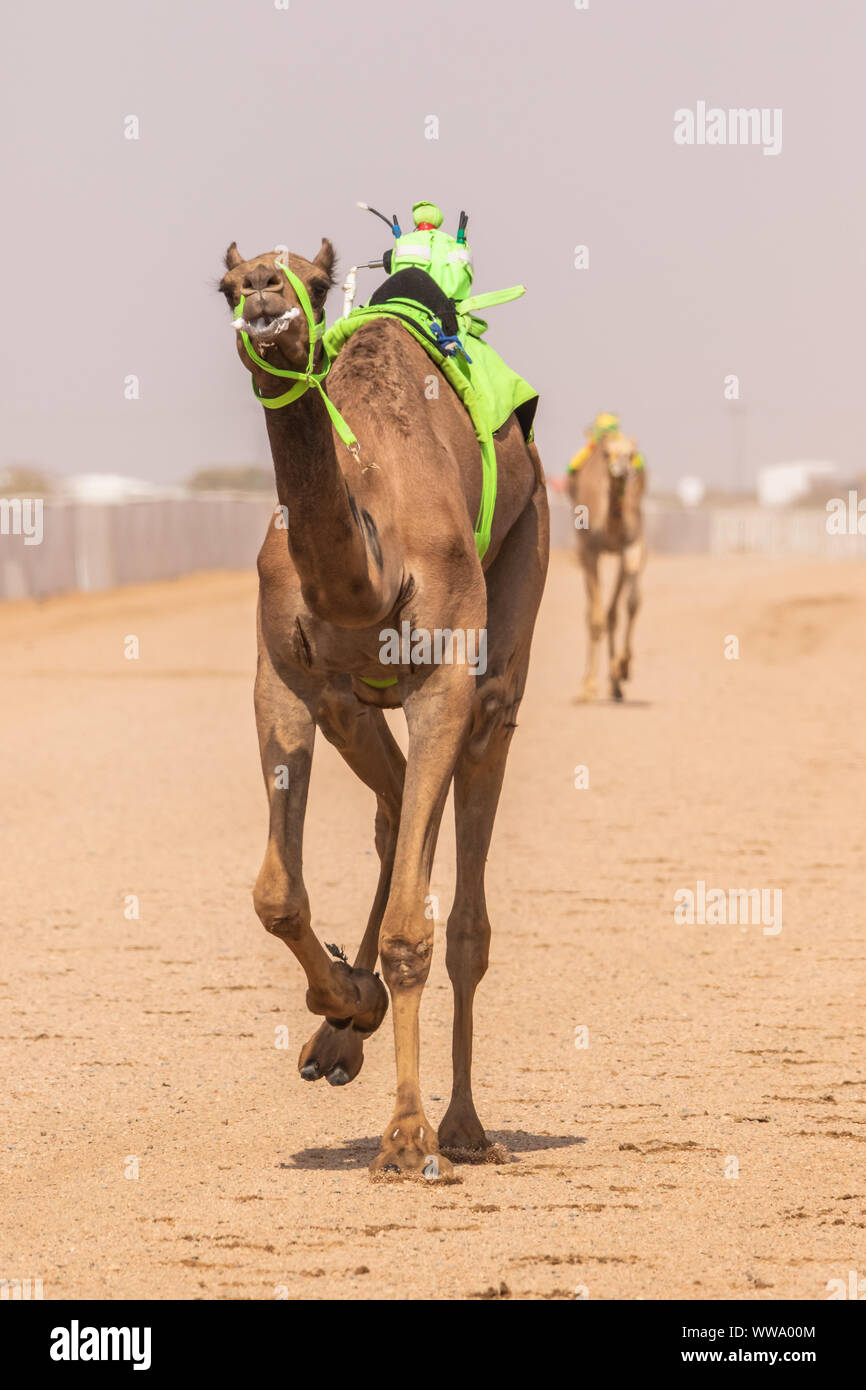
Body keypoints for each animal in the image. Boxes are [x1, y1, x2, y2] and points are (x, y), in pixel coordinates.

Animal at [218, 238, 549, 1176]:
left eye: (313, 281)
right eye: (228, 284)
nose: (264, 296)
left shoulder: (441, 679)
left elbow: (415, 932)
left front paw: (406, 1137)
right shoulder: (288, 678)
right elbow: (277, 895)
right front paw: (345, 1000)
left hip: (523, 574)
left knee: (463, 909)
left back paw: (465, 1127)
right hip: (357, 707)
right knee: (398, 808)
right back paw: (342, 1034)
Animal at [567, 429, 646, 701]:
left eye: (631, 454)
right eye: (607, 454)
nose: (619, 470)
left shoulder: (630, 547)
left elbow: (628, 607)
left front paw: (622, 669)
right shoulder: (590, 551)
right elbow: (597, 619)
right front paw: (590, 687)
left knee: (612, 610)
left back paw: (615, 685)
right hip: (582, 551)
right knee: (591, 611)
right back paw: (587, 684)